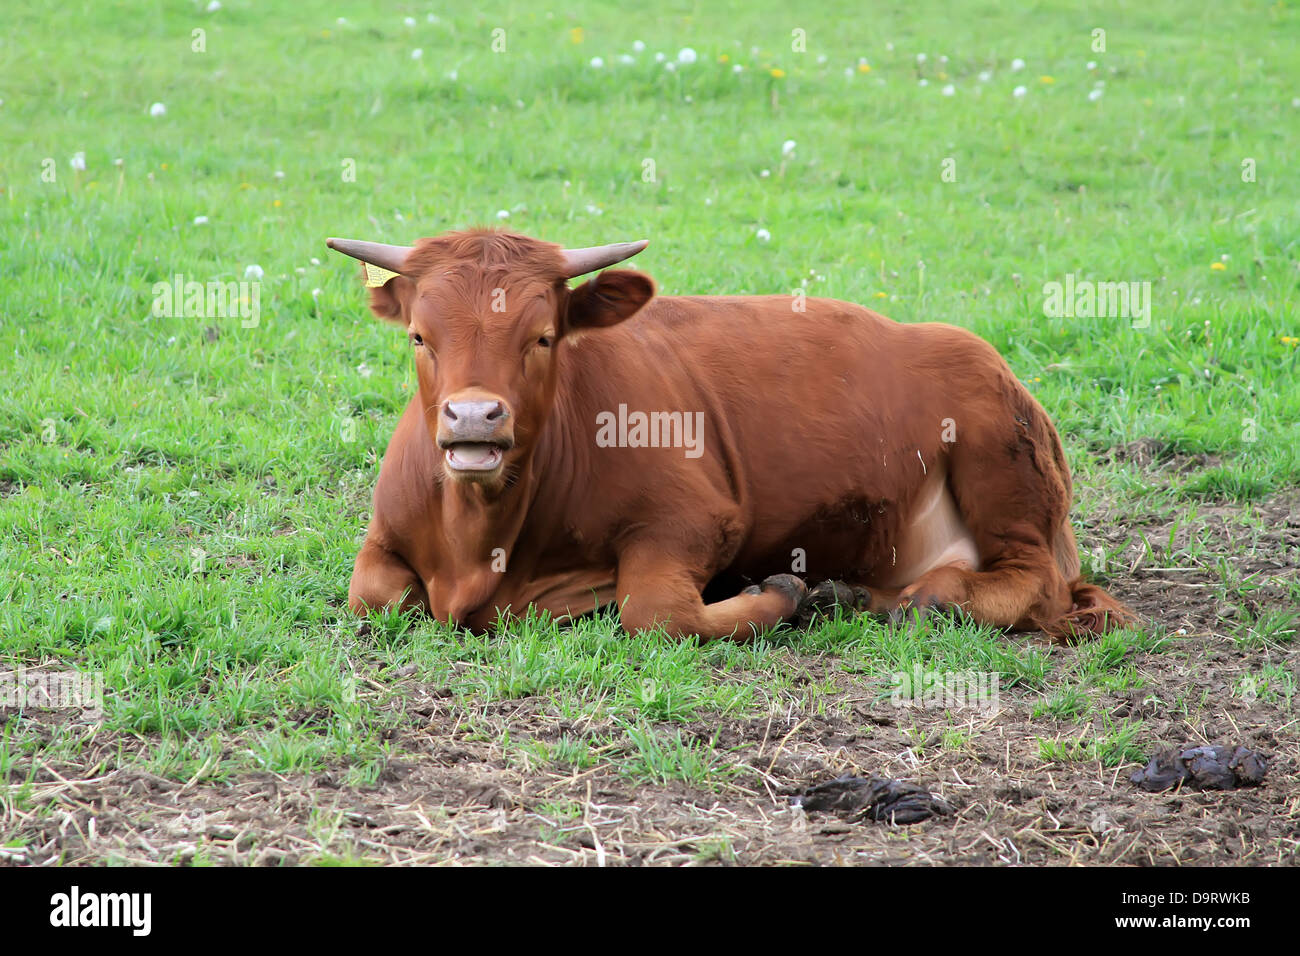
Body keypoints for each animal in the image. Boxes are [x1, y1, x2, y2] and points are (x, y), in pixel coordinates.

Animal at [327, 228, 1130, 642]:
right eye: (421, 337)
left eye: (544, 338)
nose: (473, 419)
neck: (479, 545)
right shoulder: (382, 543)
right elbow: (373, 595)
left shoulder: (696, 518)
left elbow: (654, 612)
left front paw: (777, 594)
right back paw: (854, 593)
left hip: (1001, 459)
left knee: (1031, 584)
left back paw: (901, 598)